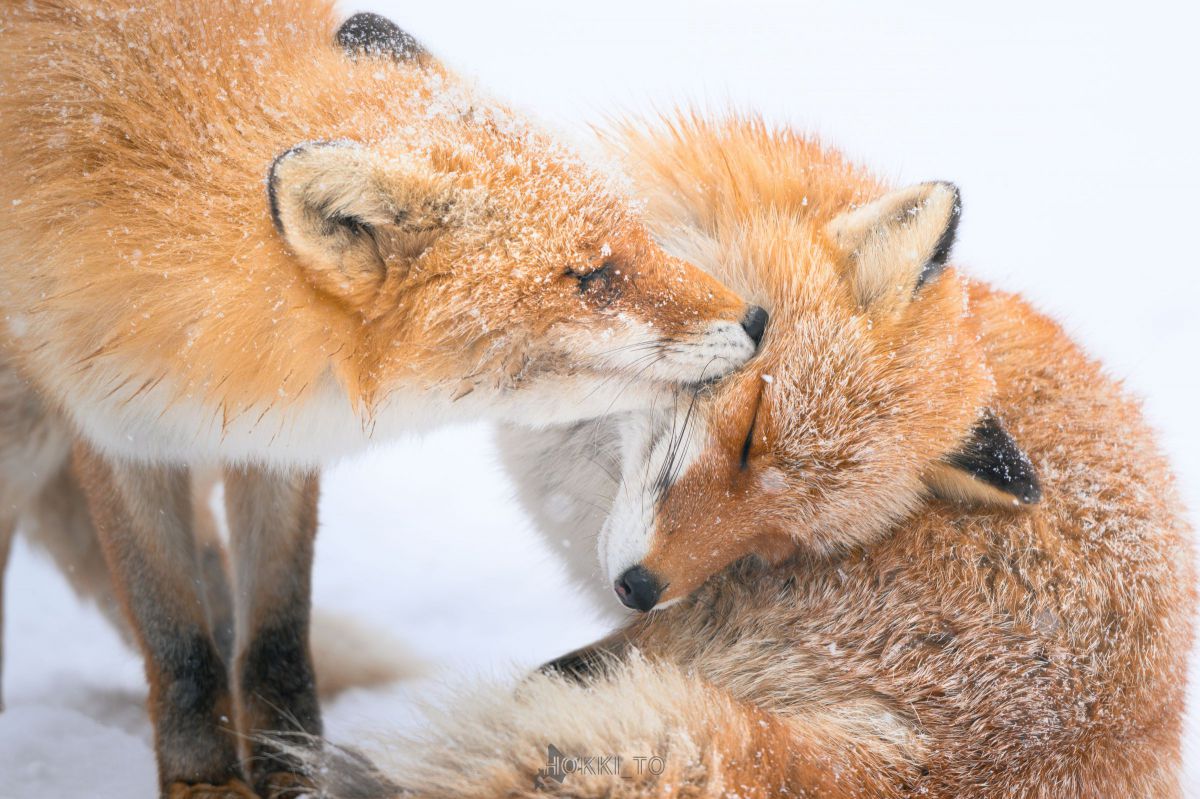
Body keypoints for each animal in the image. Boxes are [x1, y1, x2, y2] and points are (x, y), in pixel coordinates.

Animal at [0, 3, 766, 796]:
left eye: (641, 237)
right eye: (592, 276)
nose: (757, 318)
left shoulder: (273, 438)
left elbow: (275, 632)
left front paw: (292, 767)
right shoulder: (111, 426)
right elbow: (178, 639)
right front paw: (204, 778)